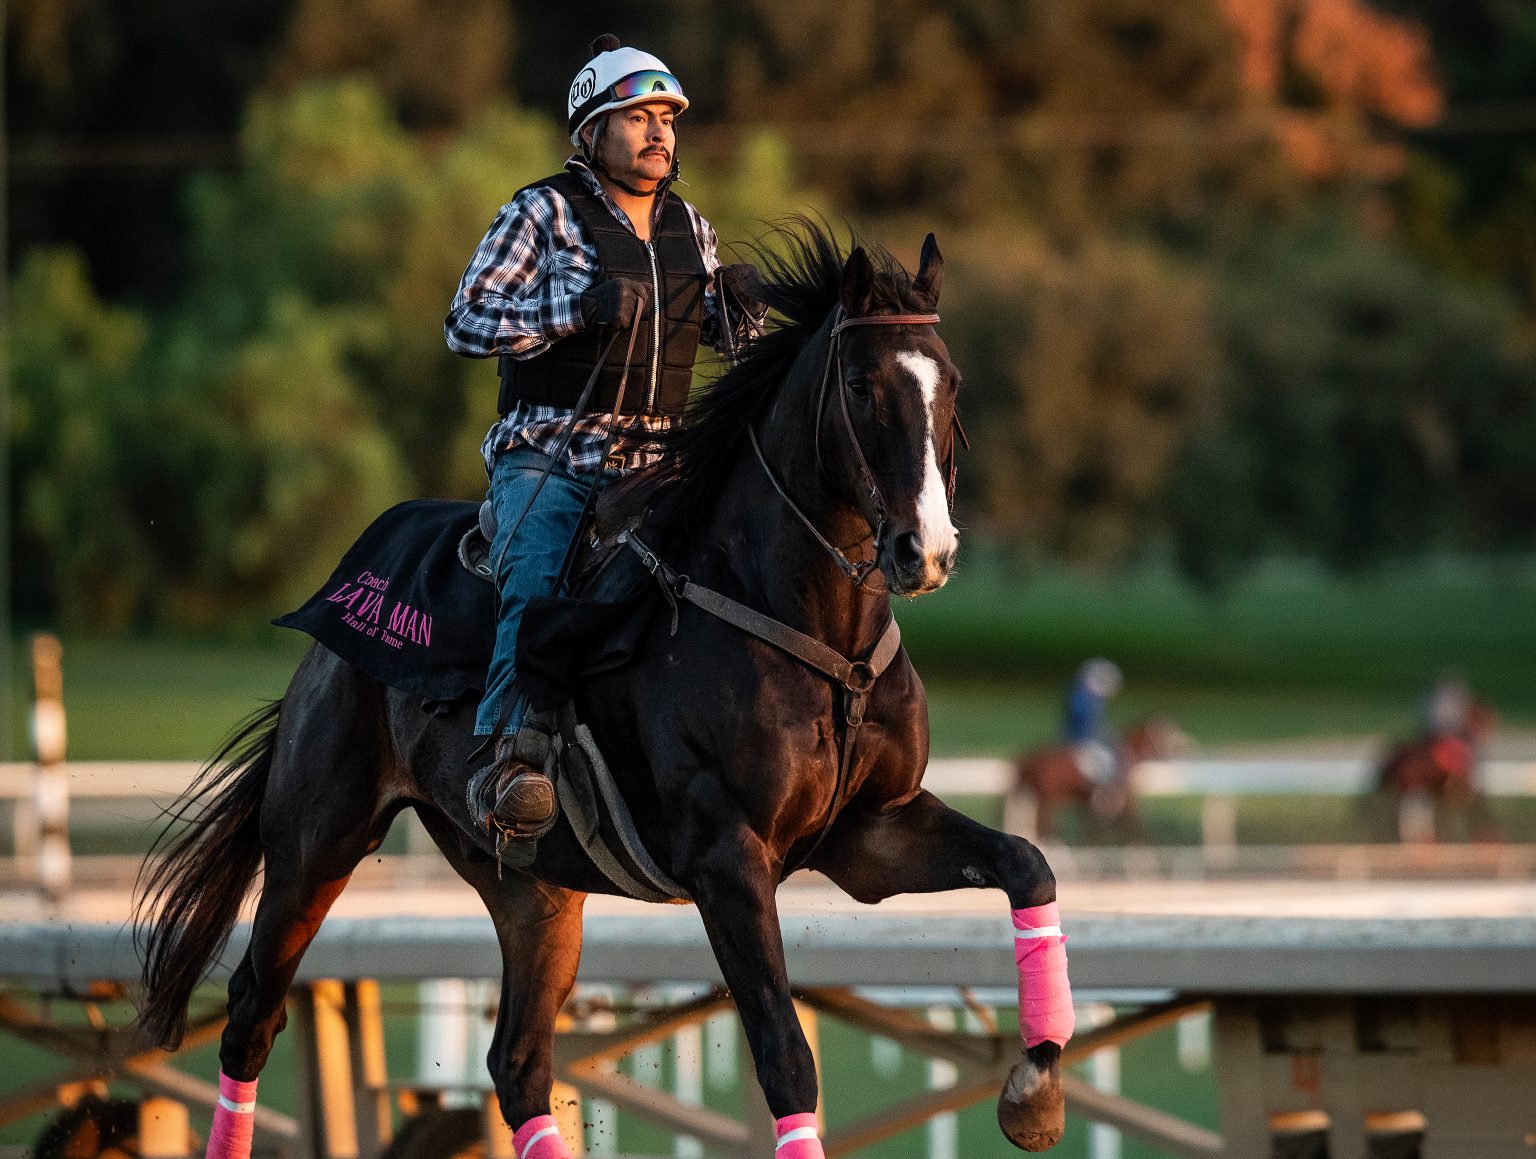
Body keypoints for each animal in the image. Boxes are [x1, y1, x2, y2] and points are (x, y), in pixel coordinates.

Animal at [133, 222, 1074, 1157]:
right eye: (860, 382)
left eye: (949, 382)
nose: (928, 549)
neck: (814, 636)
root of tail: (324, 647)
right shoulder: (727, 858)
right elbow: (783, 1054)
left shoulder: (869, 830)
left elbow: (1027, 865)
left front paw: (1035, 1081)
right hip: (315, 841)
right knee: (251, 1017)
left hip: (534, 889)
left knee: (517, 1062)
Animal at [1008, 716, 1189, 843]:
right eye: (1168, 735)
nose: (1185, 749)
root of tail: (1028, 757)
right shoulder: (1126, 801)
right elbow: (1135, 830)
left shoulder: (1088, 805)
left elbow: (1091, 831)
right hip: (1048, 801)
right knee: (1046, 831)